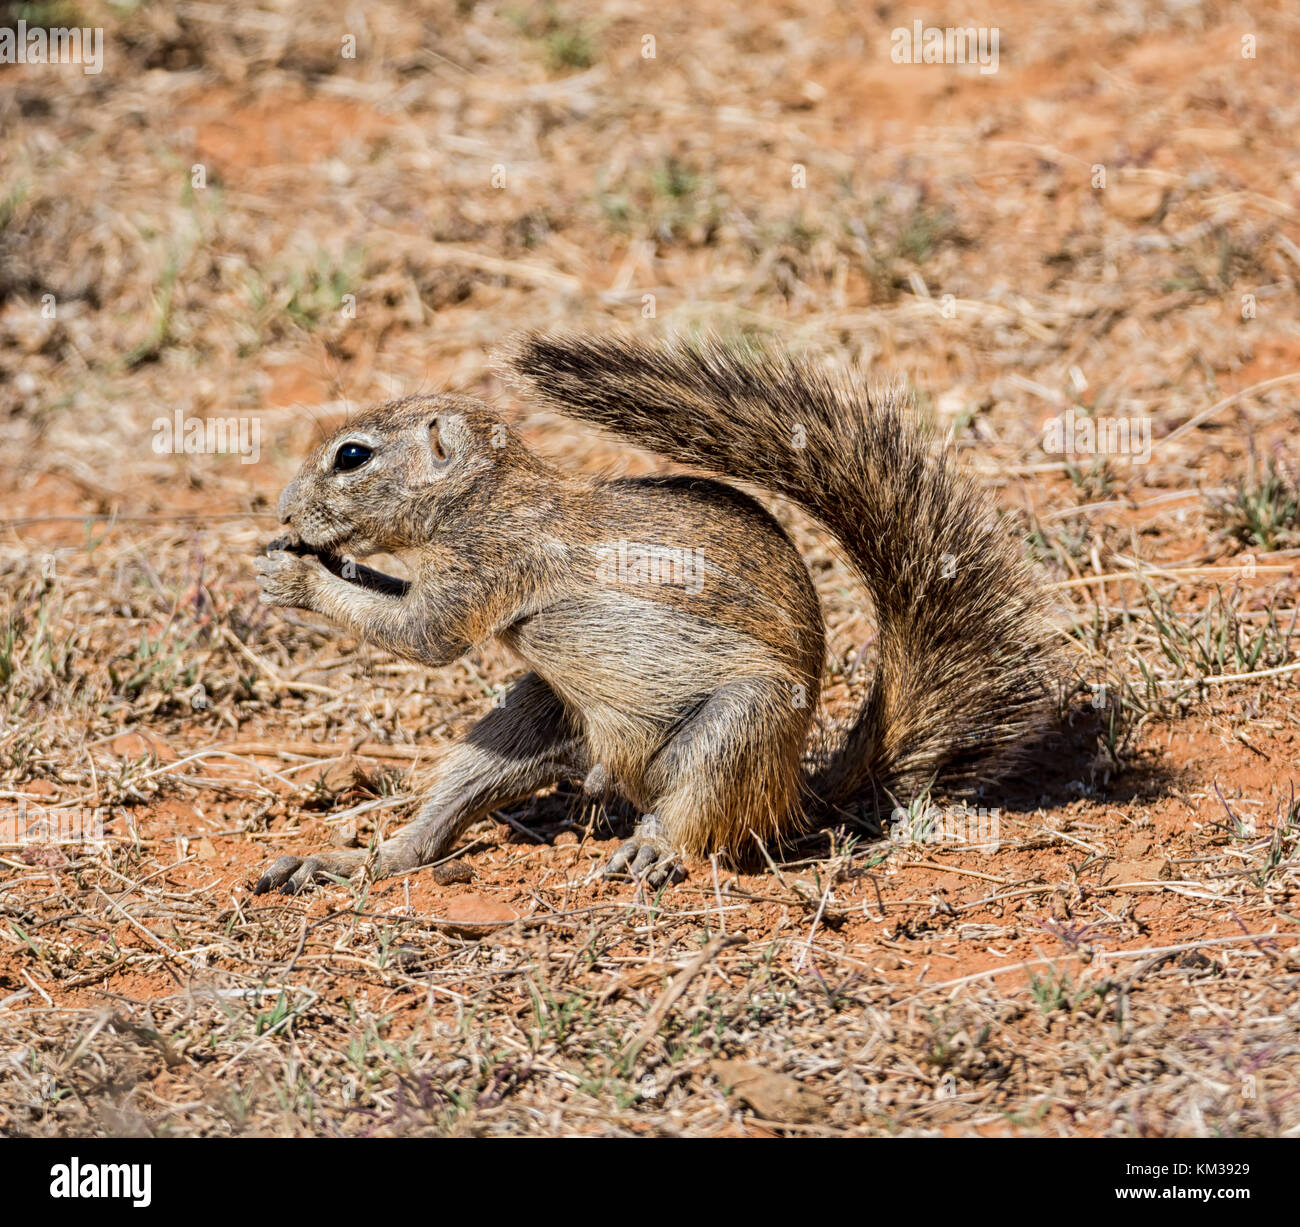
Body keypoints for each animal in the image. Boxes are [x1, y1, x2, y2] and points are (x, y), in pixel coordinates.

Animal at [253, 332, 1060, 894]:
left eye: (352, 456)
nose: (284, 511)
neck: (491, 498)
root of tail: (795, 797)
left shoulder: (488, 569)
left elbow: (423, 636)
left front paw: (294, 576)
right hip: (537, 712)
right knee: (453, 805)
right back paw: (361, 858)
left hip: (739, 723)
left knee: (701, 815)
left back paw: (654, 847)